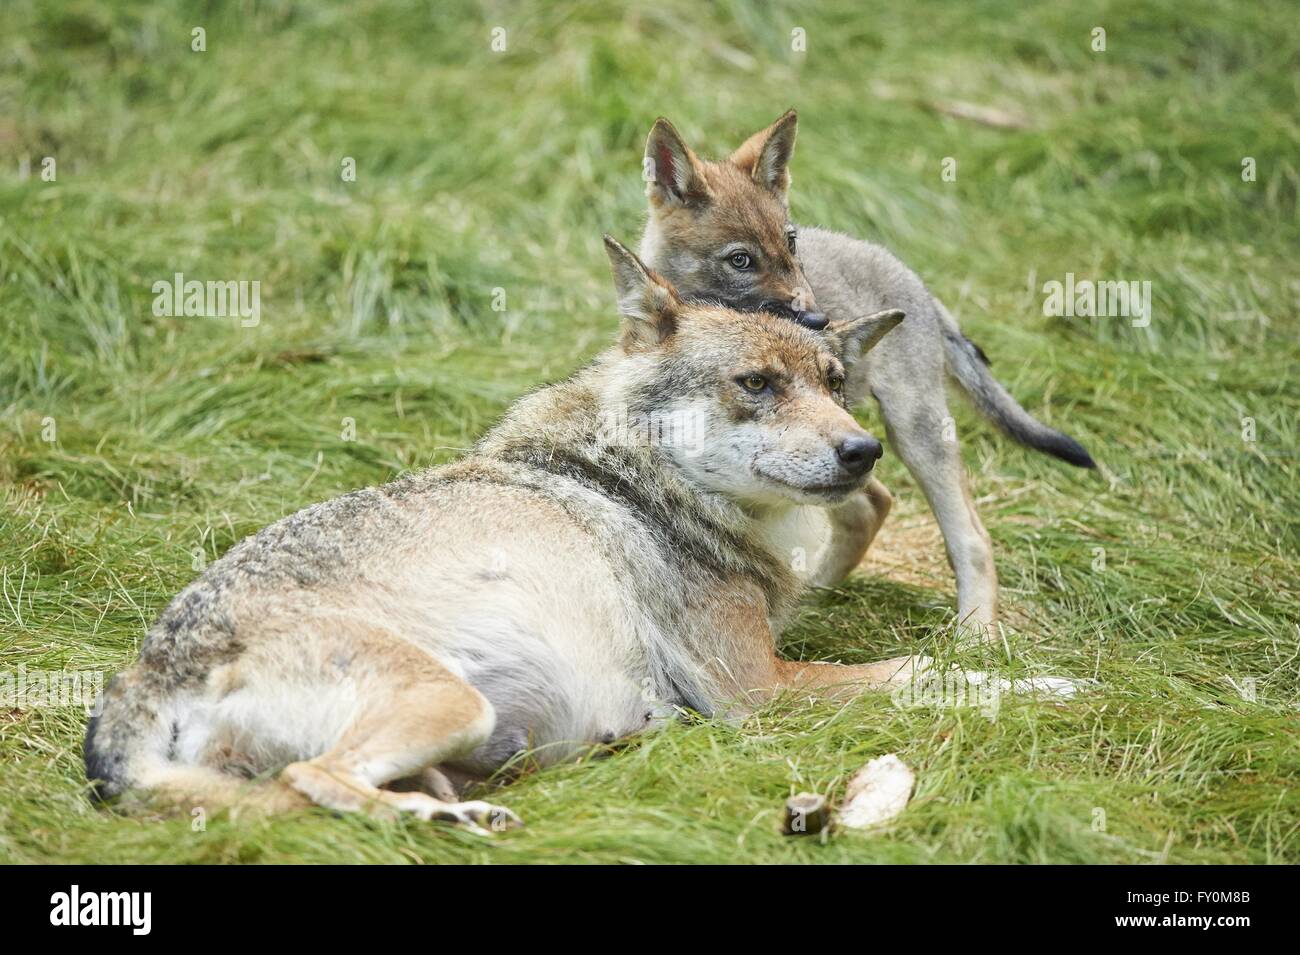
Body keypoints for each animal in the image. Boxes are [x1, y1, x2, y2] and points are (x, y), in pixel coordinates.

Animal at [84, 237, 941, 829]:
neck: (640, 479)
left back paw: (459, 818)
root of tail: (145, 674)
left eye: (834, 386)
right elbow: (921, 669)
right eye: (756, 384)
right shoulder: (756, 692)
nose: (862, 451)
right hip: (450, 700)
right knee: (313, 779)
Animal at [637, 111, 1096, 635]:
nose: (819, 321)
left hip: (914, 433)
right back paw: (811, 597)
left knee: (970, 537)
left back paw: (973, 635)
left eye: (790, 243)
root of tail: (918, 285)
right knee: (874, 502)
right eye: (740, 260)